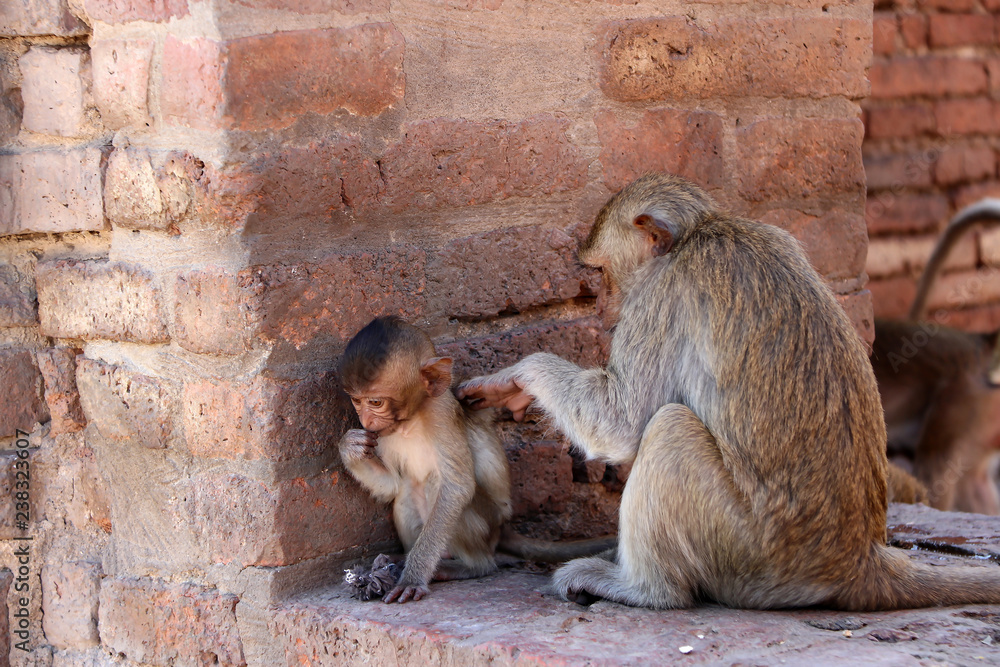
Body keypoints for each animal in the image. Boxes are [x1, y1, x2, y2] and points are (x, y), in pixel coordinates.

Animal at [337, 316, 615, 603]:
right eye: (356, 401)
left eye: (376, 402)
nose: (366, 420)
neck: (410, 420)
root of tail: (503, 527)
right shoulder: (384, 435)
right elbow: (391, 486)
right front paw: (350, 446)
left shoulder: (441, 412)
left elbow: (456, 487)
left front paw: (413, 578)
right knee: (406, 491)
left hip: (488, 523)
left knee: (438, 488)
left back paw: (470, 566)